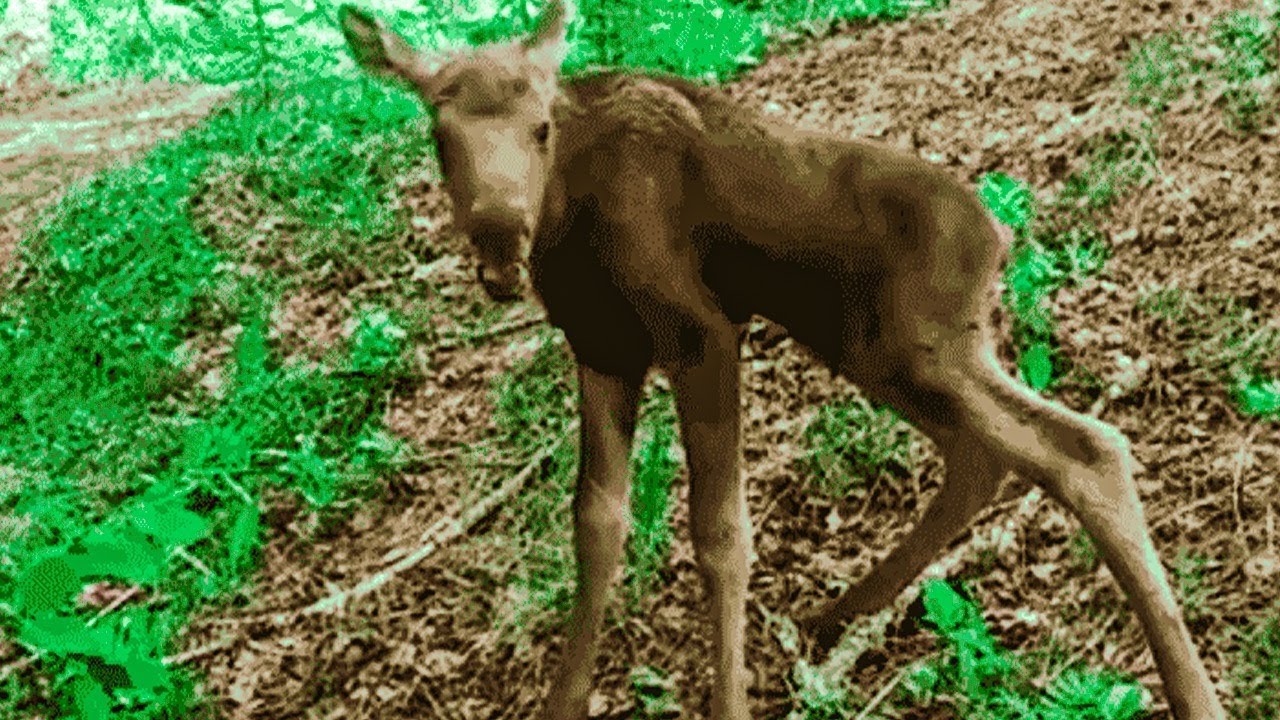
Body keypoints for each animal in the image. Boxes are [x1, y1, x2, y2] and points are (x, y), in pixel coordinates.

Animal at [338, 2, 1226, 718]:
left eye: (540, 128)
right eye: (438, 134)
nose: (498, 237)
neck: (567, 225)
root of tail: (999, 236)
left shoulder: (698, 332)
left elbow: (721, 531)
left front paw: (727, 700)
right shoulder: (601, 348)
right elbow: (595, 522)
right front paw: (564, 700)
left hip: (920, 346)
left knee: (1083, 447)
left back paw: (1195, 694)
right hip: (877, 350)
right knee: (988, 457)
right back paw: (838, 613)